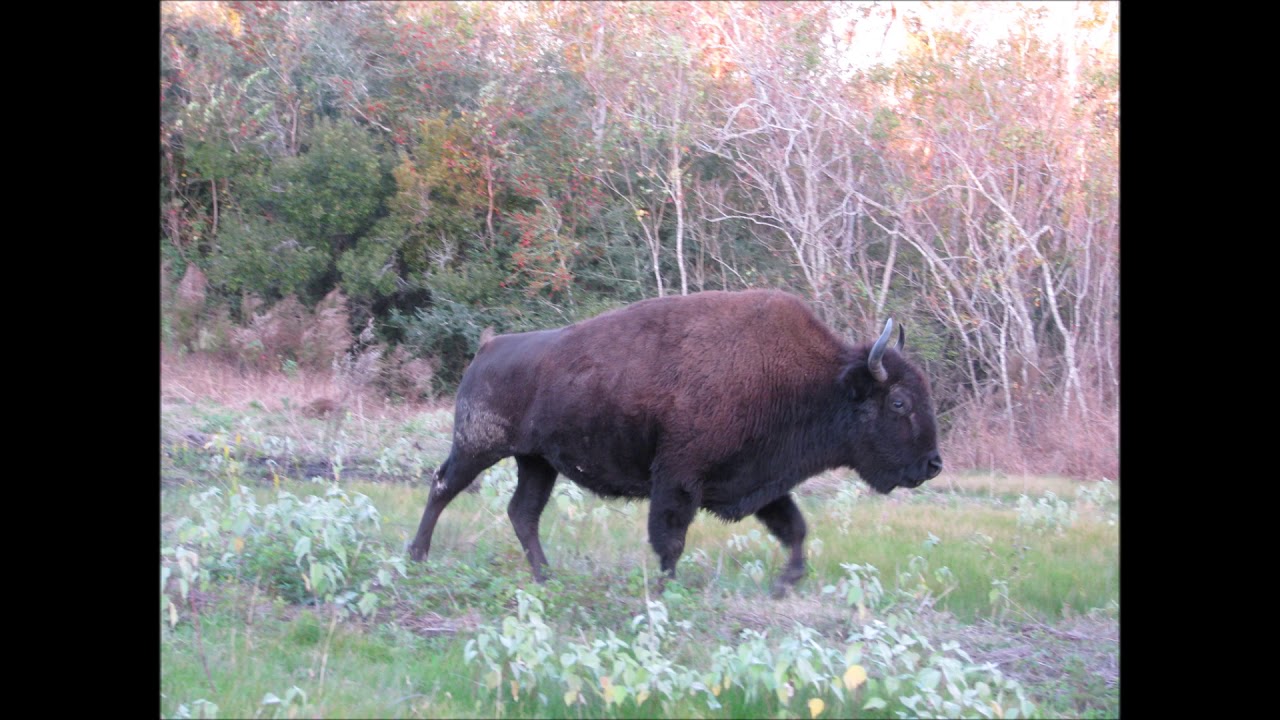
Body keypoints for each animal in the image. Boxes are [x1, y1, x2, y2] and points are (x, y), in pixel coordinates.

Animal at [408, 290, 942, 590]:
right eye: (899, 403)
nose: (933, 464)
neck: (817, 381)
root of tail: (488, 348)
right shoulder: (678, 479)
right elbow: (670, 540)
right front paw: (668, 590)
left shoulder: (762, 481)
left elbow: (794, 527)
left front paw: (786, 583)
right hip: (478, 448)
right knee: (442, 487)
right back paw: (417, 557)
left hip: (536, 462)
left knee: (523, 513)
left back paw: (546, 576)